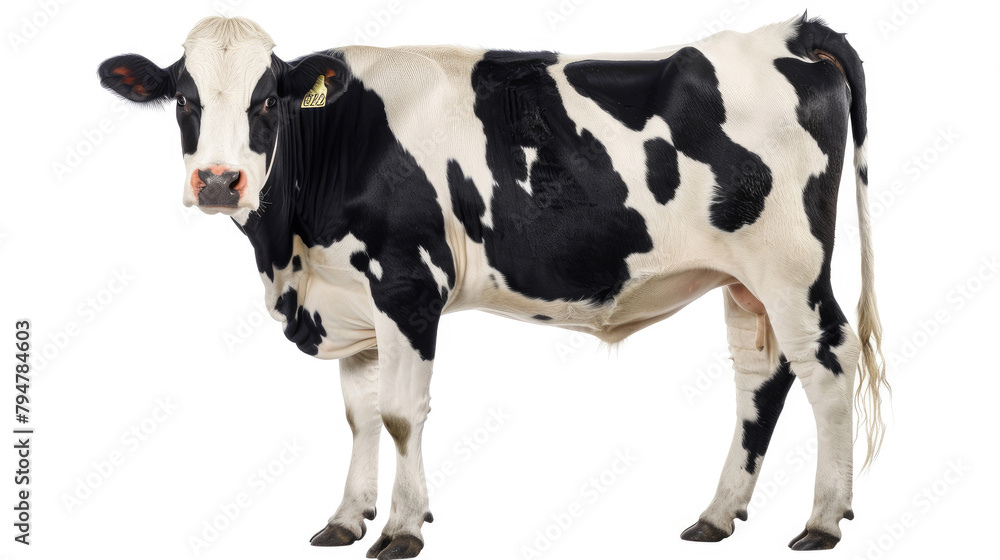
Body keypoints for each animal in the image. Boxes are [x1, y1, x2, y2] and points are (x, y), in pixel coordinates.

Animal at [98, 13, 887, 557]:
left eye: (267, 101)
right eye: (185, 101)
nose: (219, 181)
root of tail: (788, 32)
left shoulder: (408, 285)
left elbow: (400, 415)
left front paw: (402, 528)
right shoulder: (352, 302)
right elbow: (360, 415)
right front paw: (346, 519)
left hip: (790, 265)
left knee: (827, 362)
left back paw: (822, 519)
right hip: (744, 279)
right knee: (761, 377)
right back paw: (717, 516)